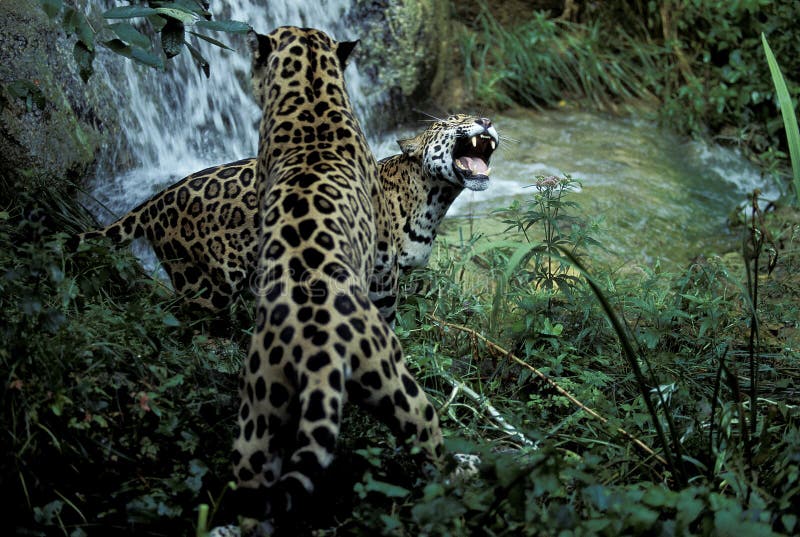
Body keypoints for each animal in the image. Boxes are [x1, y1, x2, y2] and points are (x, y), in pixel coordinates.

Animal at [76, 122, 498, 327]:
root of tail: (157, 199)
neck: (433, 198)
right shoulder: (376, 274)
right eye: (454, 121)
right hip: (208, 282)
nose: (486, 121)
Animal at [228, 26, 447, 532]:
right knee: (430, 442)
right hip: (399, 384)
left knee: (254, 496)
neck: (311, 92)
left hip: (258, 416)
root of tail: (317, 348)